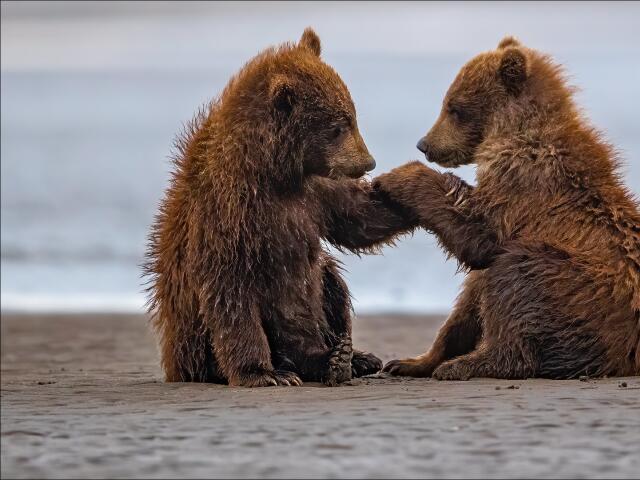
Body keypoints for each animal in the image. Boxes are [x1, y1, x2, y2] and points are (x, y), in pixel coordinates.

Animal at [144, 28, 415, 387]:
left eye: (353, 116)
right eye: (337, 127)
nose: (367, 162)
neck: (274, 172)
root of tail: (175, 365)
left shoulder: (315, 192)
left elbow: (358, 219)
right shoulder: (229, 212)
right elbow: (230, 294)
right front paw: (263, 374)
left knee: (330, 283)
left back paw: (349, 357)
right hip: (193, 343)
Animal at [376, 36, 640, 380]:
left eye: (454, 108)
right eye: (447, 103)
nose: (424, 144)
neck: (512, 132)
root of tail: (628, 354)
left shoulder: (524, 186)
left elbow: (479, 235)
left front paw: (395, 176)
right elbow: (466, 300)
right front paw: (412, 361)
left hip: (578, 289)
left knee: (514, 274)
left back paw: (470, 363)